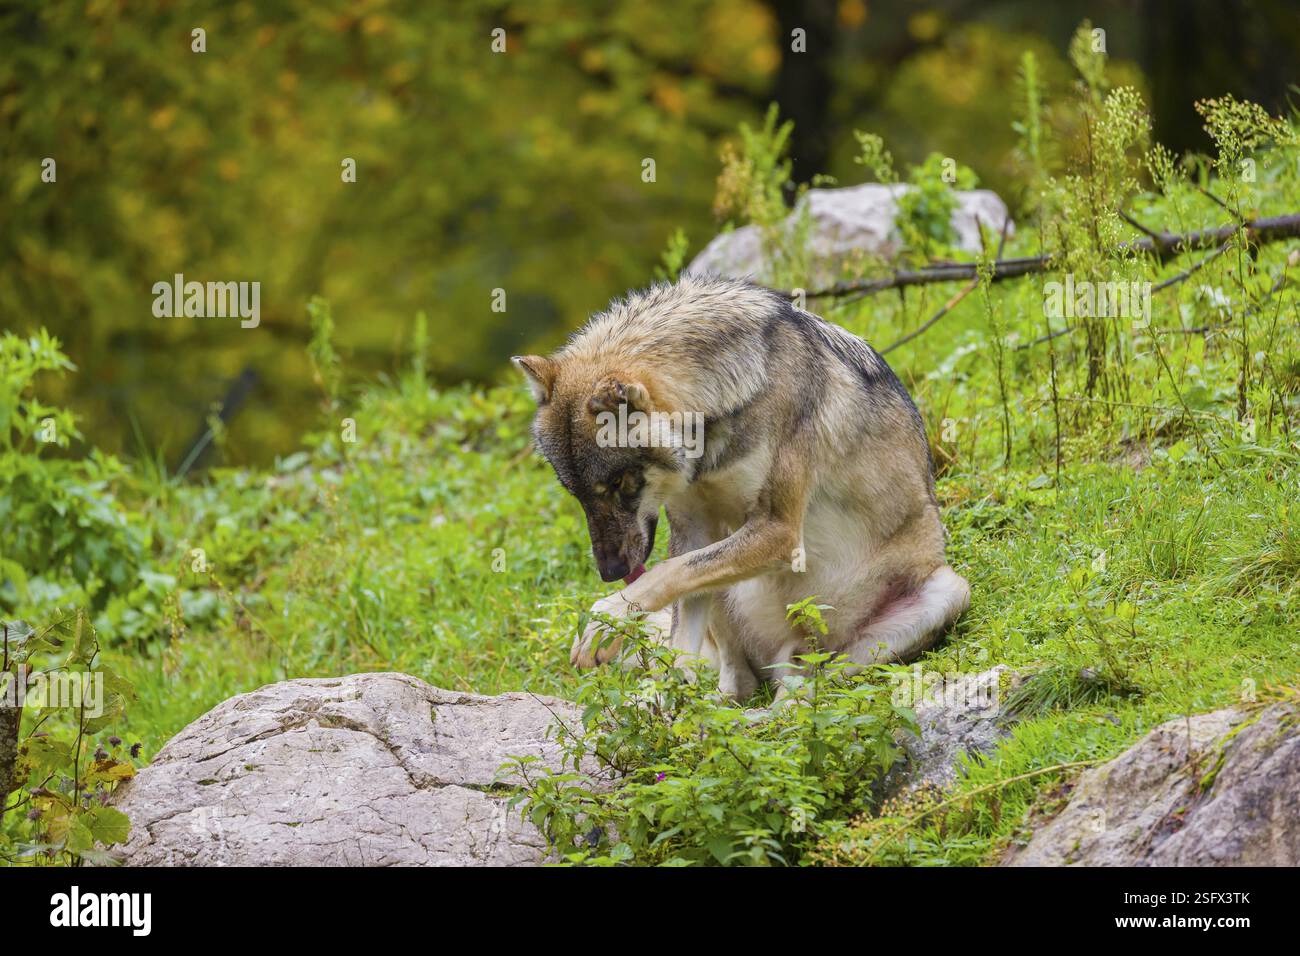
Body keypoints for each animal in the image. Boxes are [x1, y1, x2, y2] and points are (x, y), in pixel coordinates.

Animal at [513, 275, 969, 699]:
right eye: (577, 494)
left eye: (619, 483)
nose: (611, 574)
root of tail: (791, 651)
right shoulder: (695, 530)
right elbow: (677, 614)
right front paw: (662, 697)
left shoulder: (780, 532)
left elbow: (664, 572)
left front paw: (606, 619)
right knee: (744, 685)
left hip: (946, 595)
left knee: (806, 692)